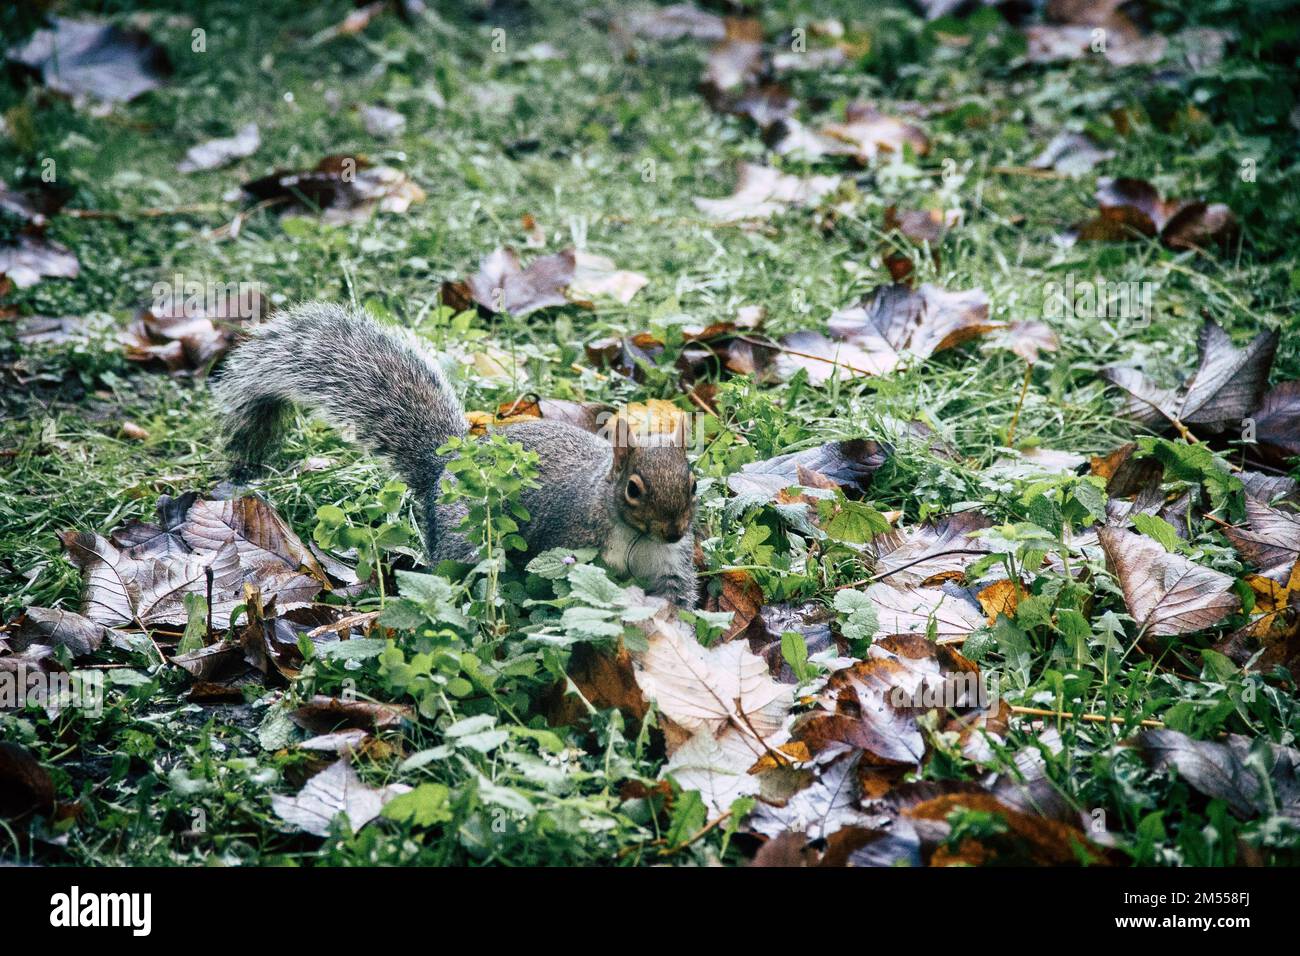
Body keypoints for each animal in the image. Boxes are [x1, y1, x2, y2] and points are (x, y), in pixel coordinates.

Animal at [211, 302, 699, 605]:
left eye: (693, 484)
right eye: (633, 489)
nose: (675, 531)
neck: (637, 536)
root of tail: (444, 466)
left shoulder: (669, 566)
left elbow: (675, 599)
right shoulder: (572, 544)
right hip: (467, 540)